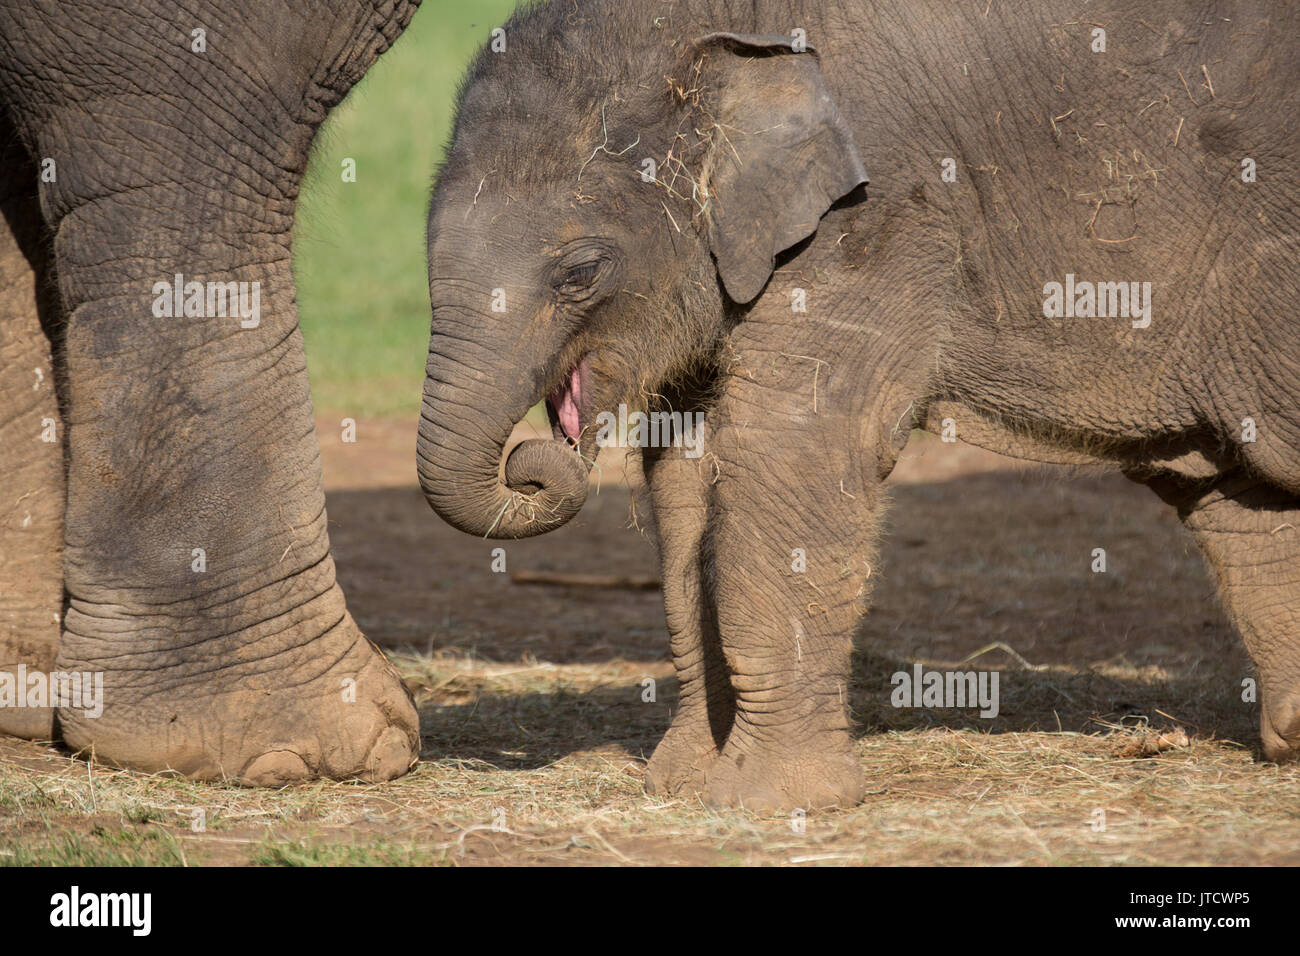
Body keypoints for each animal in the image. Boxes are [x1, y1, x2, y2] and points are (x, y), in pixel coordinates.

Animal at [419, 0, 1300, 811]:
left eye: (580, 272)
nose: (537, 460)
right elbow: (684, 474)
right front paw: (681, 785)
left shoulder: (879, 214)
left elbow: (790, 448)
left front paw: (772, 801)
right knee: (1236, 497)